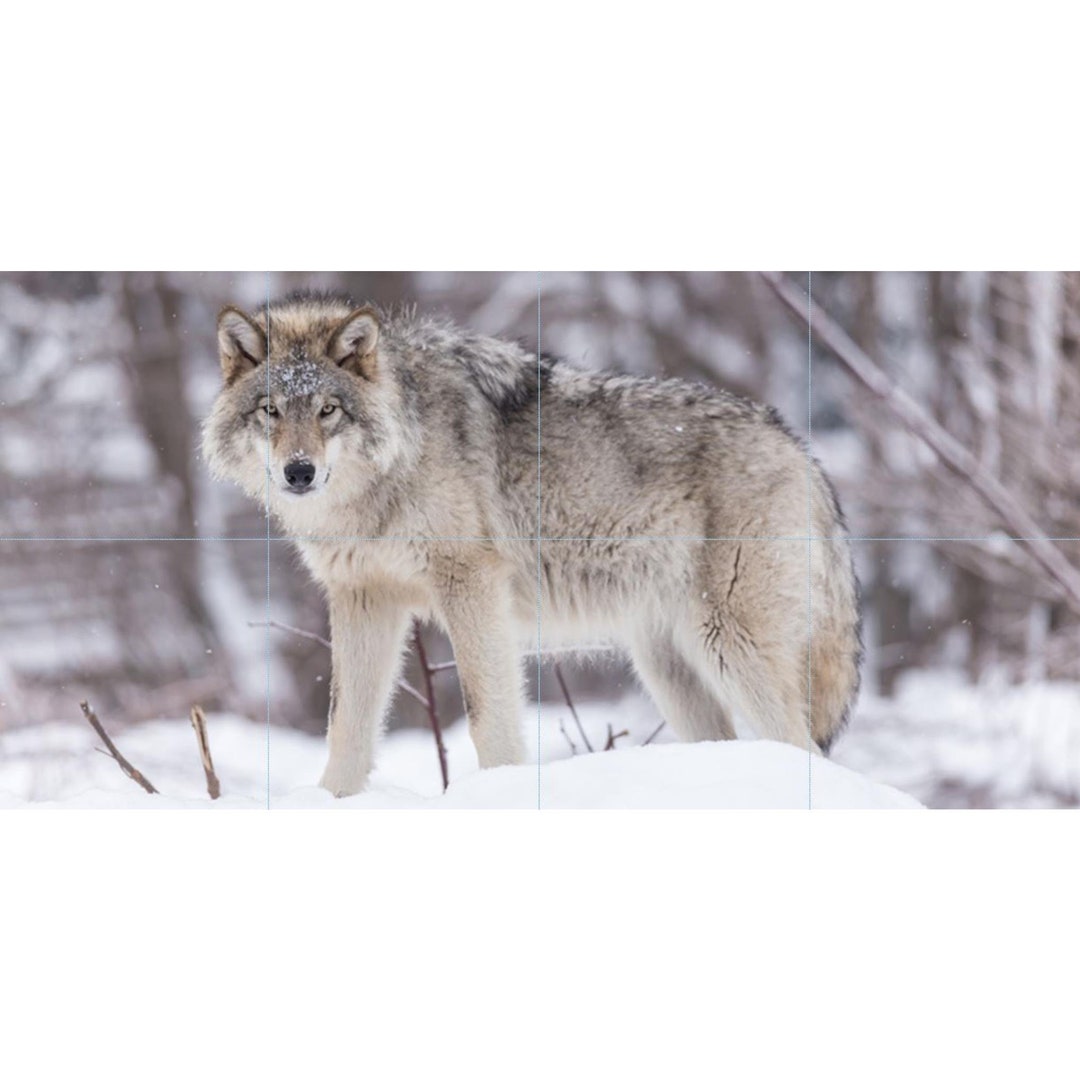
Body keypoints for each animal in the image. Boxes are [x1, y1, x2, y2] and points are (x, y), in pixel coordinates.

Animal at [202, 290, 861, 797]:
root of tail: (800, 448)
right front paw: (332, 800)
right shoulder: (363, 597)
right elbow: (346, 725)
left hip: (730, 646)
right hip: (670, 666)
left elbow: (486, 715)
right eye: (271, 411)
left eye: (328, 410)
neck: (389, 470)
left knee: (803, 746)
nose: (299, 472)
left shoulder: (470, 583)